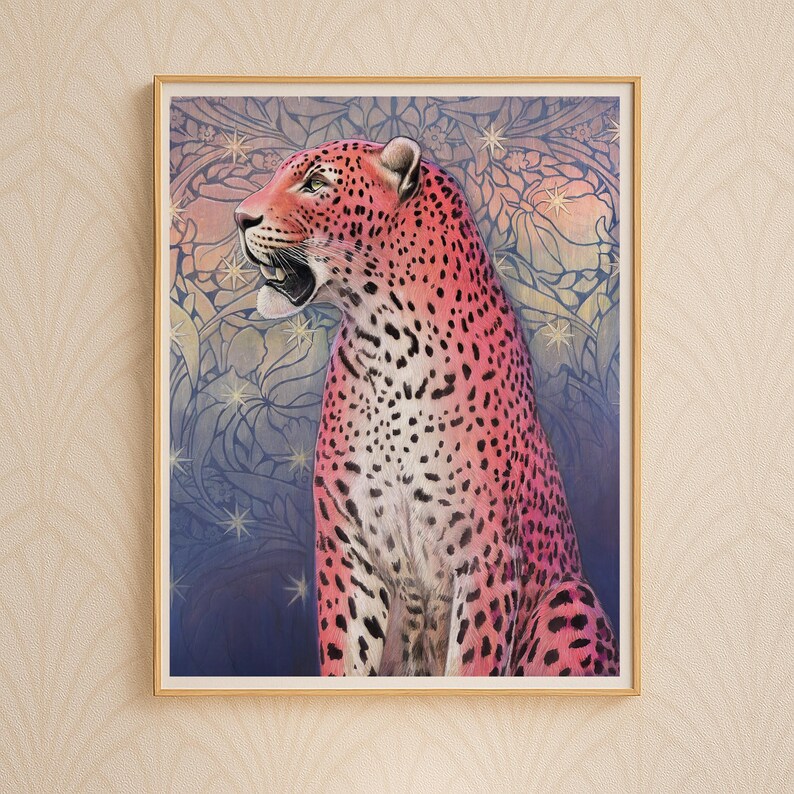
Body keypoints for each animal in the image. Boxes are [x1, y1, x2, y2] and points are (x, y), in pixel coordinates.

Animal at [235, 136, 619, 677]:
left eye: (316, 183)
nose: (239, 218)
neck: (387, 341)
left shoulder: (486, 557)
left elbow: (473, 662)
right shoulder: (346, 547)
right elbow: (344, 654)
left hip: (570, 598)